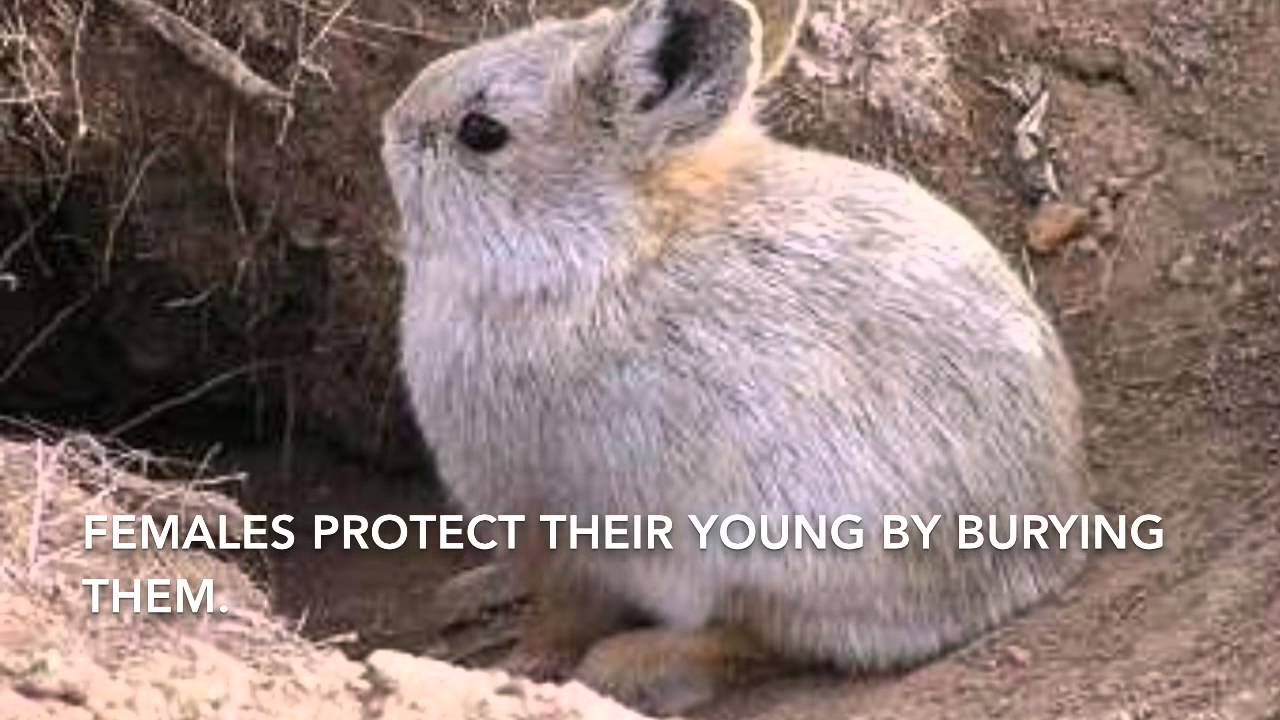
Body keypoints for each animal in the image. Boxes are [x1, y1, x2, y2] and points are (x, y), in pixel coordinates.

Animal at [381, 0, 1090, 715]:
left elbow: (562, 614)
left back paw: (631, 665)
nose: (392, 124)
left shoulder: (555, 522)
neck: (592, 248)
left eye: (481, 132)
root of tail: (1038, 567)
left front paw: (522, 666)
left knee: (761, 641)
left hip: (779, 557)